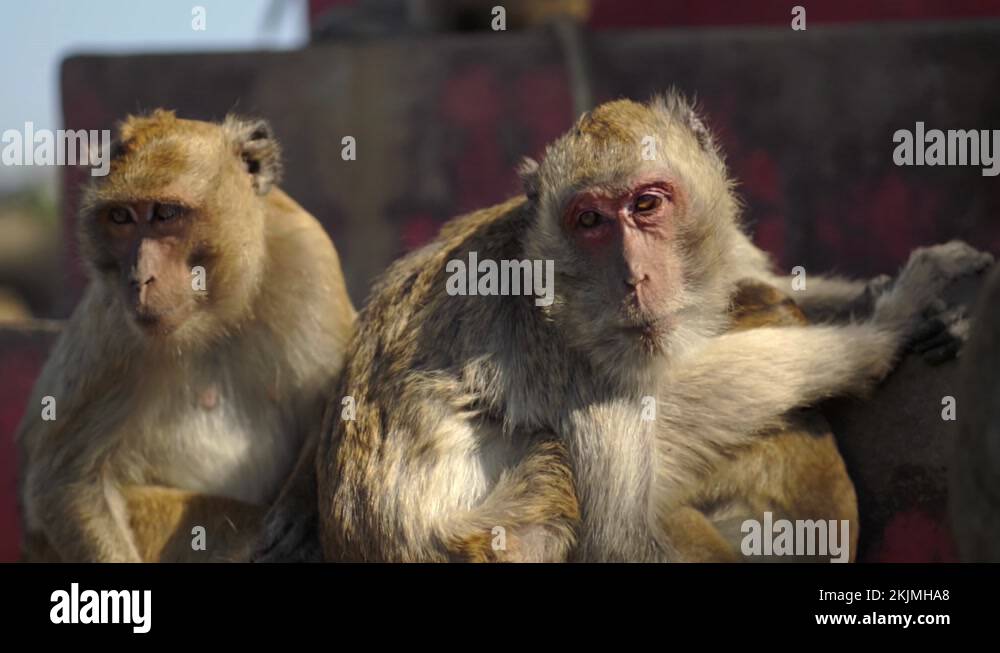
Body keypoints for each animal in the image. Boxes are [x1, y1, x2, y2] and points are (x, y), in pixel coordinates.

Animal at [15, 109, 356, 562]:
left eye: (165, 213)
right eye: (120, 218)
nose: (139, 279)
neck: (219, 315)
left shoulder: (308, 254)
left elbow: (333, 408)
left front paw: (300, 510)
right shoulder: (113, 322)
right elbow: (65, 480)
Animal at [254, 93, 991, 562]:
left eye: (646, 205)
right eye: (589, 221)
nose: (635, 276)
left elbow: (755, 281)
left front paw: (897, 293)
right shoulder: (572, 358)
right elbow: (619, 540)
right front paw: (895, 315)